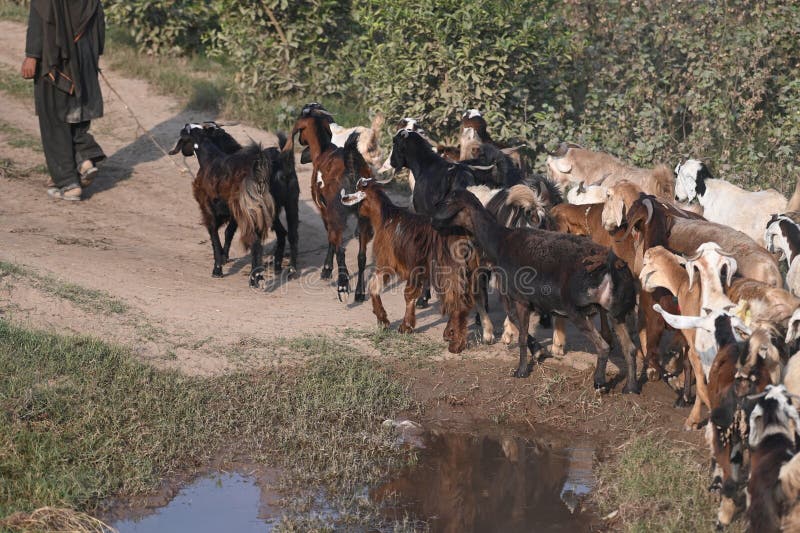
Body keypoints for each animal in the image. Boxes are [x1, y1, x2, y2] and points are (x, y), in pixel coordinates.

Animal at [169, 123, 274, 287]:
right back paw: (257, 275)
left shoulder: (207, 209)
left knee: (254, 241)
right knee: (258, 242)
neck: (210, 158)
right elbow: (227, 233)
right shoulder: (232, 215)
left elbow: (214, 236)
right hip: (257, 214)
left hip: (246, 214)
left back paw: (254, 279)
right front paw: (224, 259)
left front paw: (217, 269)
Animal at [340, 178, 488, 353]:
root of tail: (466, 236)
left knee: (459, 301)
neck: (386, 218)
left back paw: (456, 344)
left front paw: (387, 322)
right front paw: (405, 325)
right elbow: (410, 294)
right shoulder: (416, 269)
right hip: (469, 271)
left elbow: (378, 287)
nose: (345, 200)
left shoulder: (387, 262)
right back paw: (450, 333)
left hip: (451, 271)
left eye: (357, 191)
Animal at [432, 189, 640, 393]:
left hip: (578, 311)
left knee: (603, 347)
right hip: (616, 312)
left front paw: (522, 370)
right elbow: (514, 320)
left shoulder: (520, 299)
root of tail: (612, 264)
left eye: (448, 201)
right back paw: (630, 388)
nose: (432, 220)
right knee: (630, 348)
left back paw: (599, 383)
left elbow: (522, 335)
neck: (500, 241)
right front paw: (538, 351)